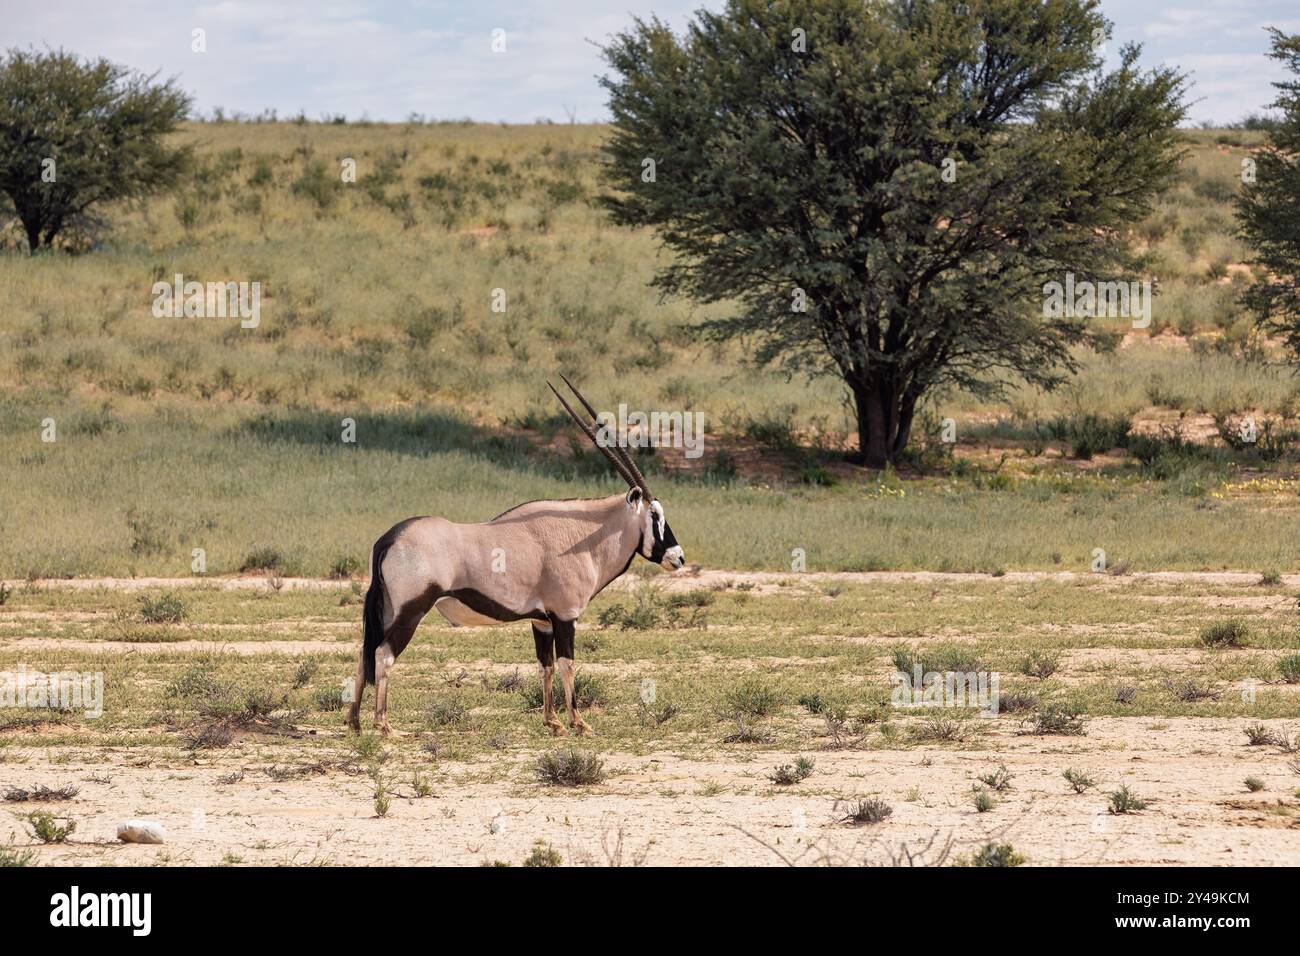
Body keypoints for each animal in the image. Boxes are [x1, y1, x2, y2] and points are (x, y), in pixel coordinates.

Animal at [347, 376, 685, 736]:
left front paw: (553, 722)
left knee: (365, 652)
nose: (678, 558)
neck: (583, 536)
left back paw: (354, 721)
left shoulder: (542, 621)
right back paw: (383, 725)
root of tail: (389, 539)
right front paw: (579, 723)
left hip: (387, 610)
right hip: (411, 611)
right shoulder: (565, 616)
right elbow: (567, 665)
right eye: (654, 515)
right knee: (383, 654)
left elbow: (545, 666)